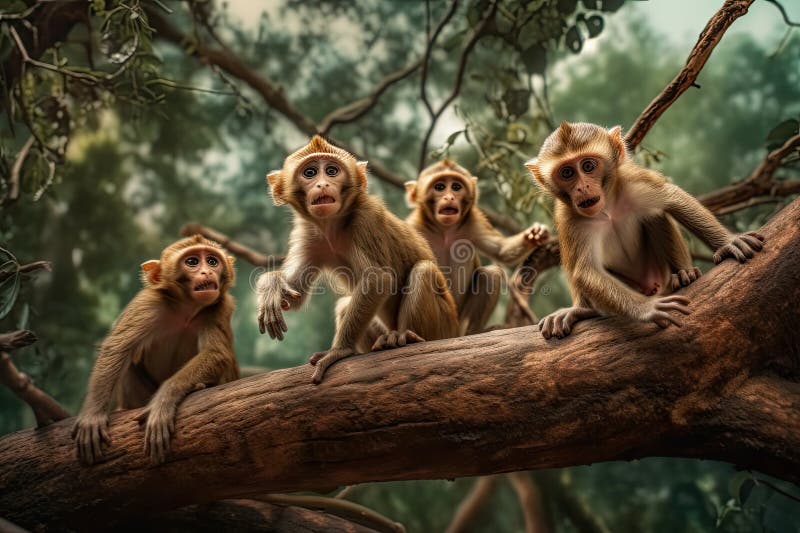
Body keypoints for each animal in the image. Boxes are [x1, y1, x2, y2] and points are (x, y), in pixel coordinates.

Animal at [72, 235, 239, 465]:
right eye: (192, 262)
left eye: (213, 261)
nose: (208, 272)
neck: (186, 310)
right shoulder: (147, 303)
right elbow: (117, 348)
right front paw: (92, 414)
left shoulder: (220, 306)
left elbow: (216, 353)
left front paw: (164, 400)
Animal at [257, 135, 458, 384]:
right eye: (310, 173)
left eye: (331, 171)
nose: (322, 184)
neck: (332, 225)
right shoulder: (308, 235)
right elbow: (295, 295)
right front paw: (271, 286)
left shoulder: (367, 218)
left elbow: (378, 279)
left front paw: (339, 350)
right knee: (345, 305)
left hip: (444, 326)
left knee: (423, 271)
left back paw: (409, 337)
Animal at [405, 159, 549, 335]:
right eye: (439, 187)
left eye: (456, 187)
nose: (449, 197)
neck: (444, 230)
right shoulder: (413, 226)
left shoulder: (474, 223)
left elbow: (500, 251)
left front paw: (534, 235)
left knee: (490, 273)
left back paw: (473, 331)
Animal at [526, 122, 765, 339]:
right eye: (567, 172)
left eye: (588, 166)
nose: (582, 188)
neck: (607, 210)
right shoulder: (569, 219)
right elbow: (585, 270)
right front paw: (647, 309)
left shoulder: (634, 181)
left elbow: (675, 199)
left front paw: (728, 243)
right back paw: (583, 310)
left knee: (654, 215)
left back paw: (684, 274)